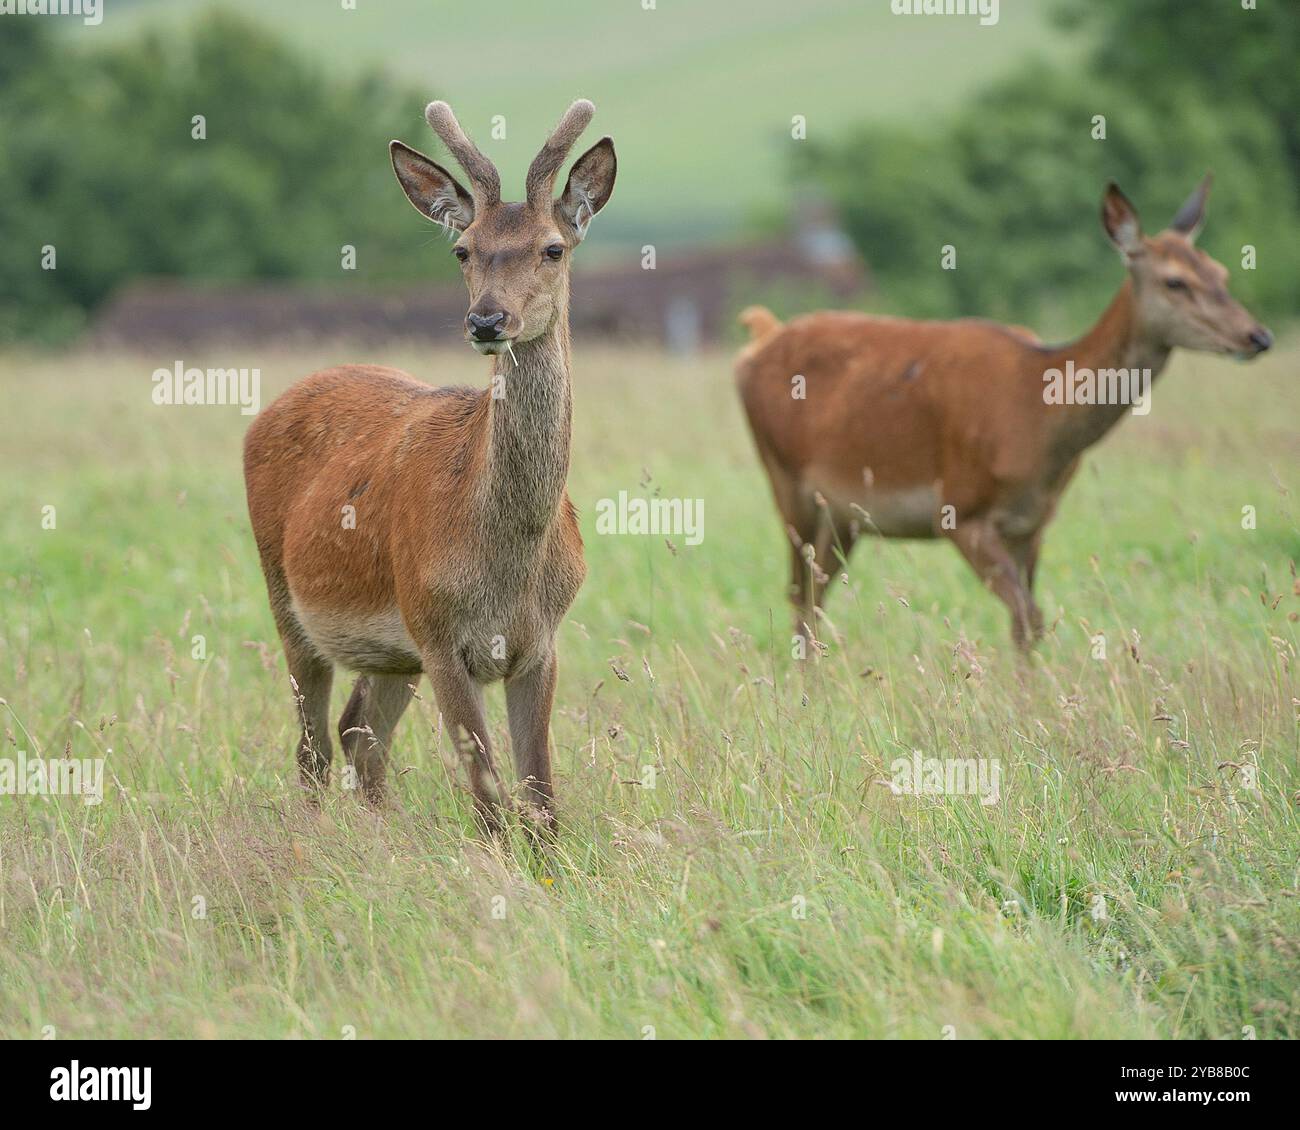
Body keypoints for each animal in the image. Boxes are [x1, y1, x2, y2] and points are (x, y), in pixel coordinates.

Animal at [243, 99, 616, 832]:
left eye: (553, 248)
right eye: (462, 250)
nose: (487, 320)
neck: (508, 561)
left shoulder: (541, 643)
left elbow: (542, 797)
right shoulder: (440, 633)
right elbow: (490, 798)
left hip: (393, 651)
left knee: (358, 733)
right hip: (290, 599)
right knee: (312, 744)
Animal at [734, 177, 1272, 651]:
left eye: (1222, 273)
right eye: (1175, 281)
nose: (1257, 335)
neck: (1038, 419)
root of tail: (758, 340)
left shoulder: (1031, 523)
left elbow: (1027, 623)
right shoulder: (960, 508)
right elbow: (1028, 614)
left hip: (844, 513)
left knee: (815, 595)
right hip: (787, 482)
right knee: (801, 597)